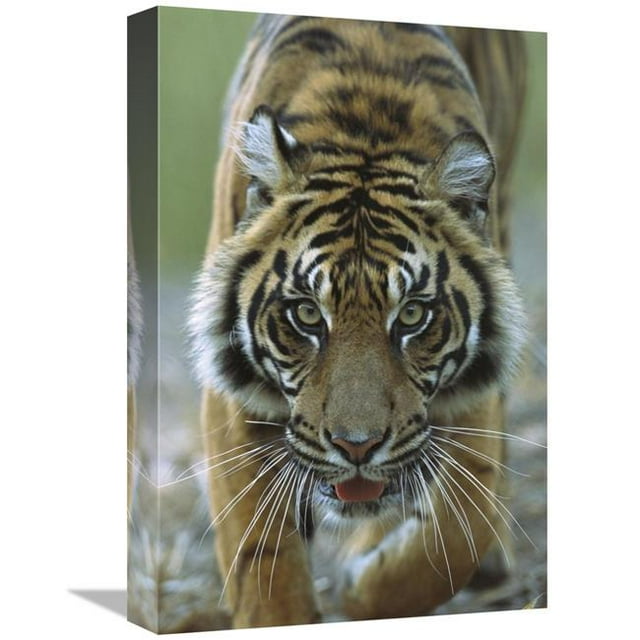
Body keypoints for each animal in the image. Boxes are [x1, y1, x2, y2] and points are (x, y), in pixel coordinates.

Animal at [188, 14, 528, 628]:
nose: (357, 449)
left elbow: (456, 534)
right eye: (306, 313)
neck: (365, 128)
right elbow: (265, 565)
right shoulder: (233, 397)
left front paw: (363, 588)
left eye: (413, 314)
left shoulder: (474, 396)